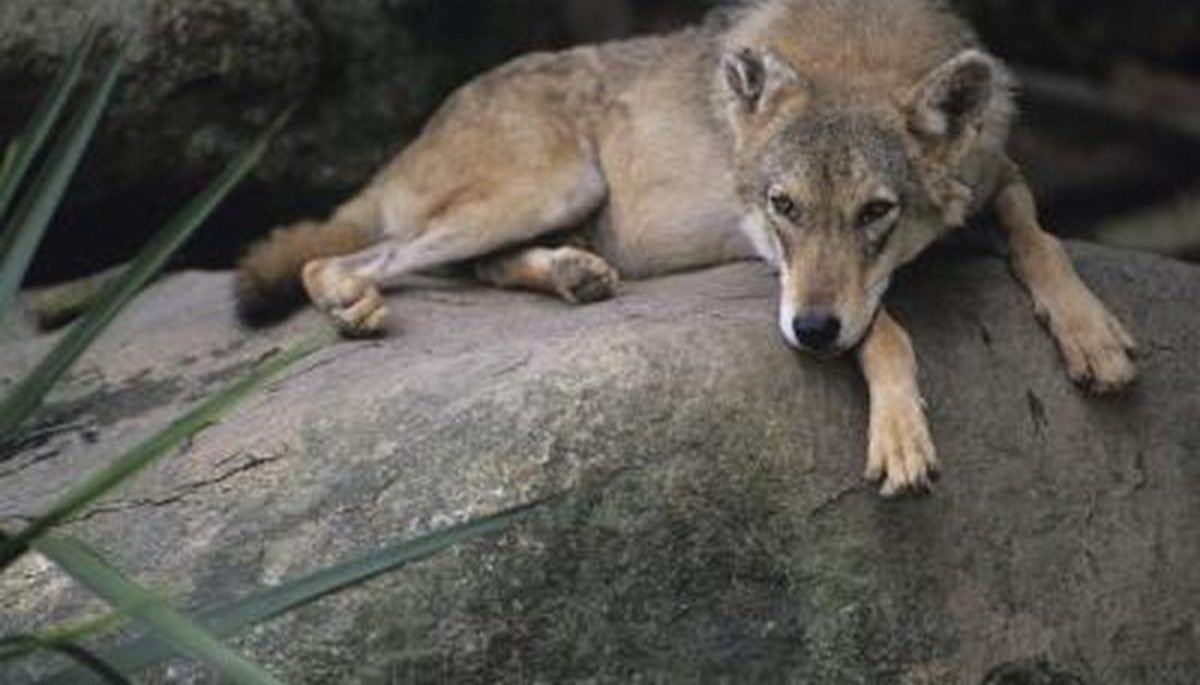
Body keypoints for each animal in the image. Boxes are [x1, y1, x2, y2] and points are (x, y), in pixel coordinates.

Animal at [237, 0, 1137, 496]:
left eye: (876, 211)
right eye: (784, 206)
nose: (811, 333)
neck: (859, 47)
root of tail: (417, 132)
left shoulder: (996, 171)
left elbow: (1037, 231)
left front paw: (1091, 334)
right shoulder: (770, 258)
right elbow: (883, 328)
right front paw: (900, 435)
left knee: (476, 263)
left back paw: (573, 274)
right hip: (552, 185)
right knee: (341, 260)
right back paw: (353, 304)